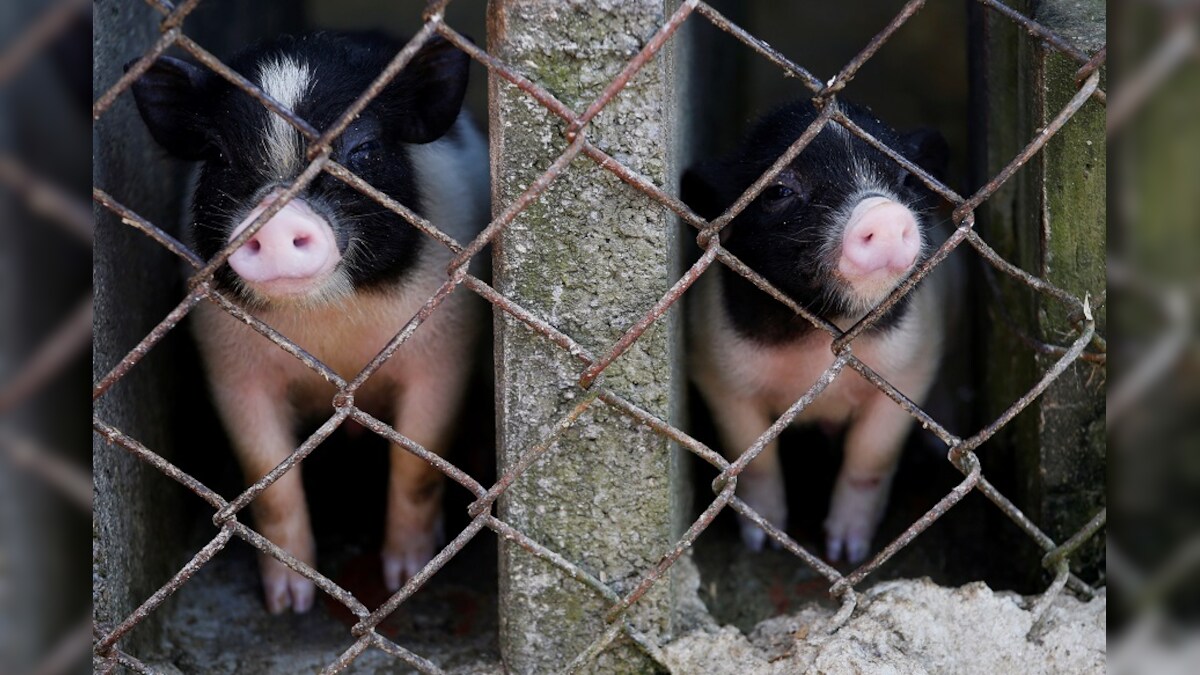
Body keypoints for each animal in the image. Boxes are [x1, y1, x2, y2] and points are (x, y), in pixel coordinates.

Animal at [130, 31, 489, 612]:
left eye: (363, 149)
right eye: (221, 156)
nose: (276, 216)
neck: (328, 330)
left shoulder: (445, 346)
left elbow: (418, 465)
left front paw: (405, 577)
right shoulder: (228, 364)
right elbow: (268, 479)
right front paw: (288, 605)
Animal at [682, 100, 953, 564]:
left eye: (906, 180)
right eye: (778, 191)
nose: (884, 213)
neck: (824, 337)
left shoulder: (912, 366)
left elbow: (869, 458)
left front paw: (848, 552)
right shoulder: (717, 370)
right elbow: (753, 457)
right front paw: (764, 543)